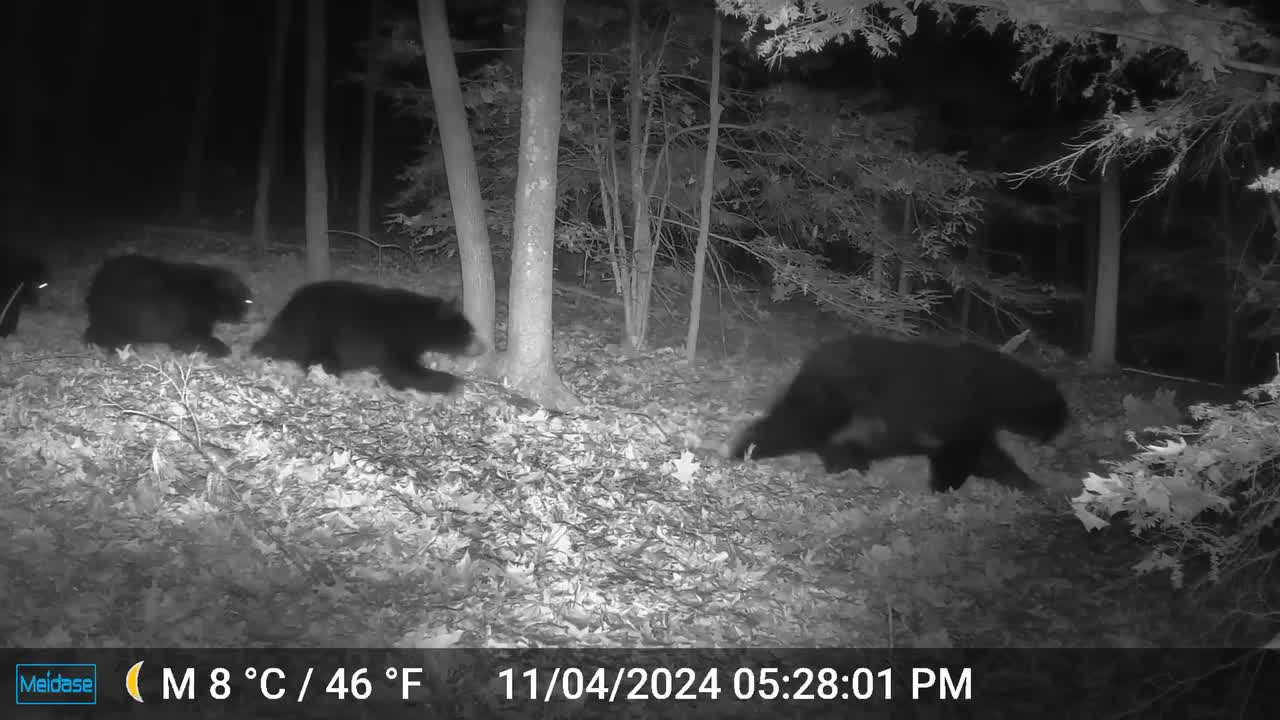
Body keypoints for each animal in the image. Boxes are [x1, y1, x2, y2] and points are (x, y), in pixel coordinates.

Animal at [85, 254, 253, 358]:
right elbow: (191, 338)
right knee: (100, 332)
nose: (244, 316)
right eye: (243, 301)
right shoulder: (187, 319)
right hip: (110, 312)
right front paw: (222, 348)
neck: (208, 293)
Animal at [251, 280, 486, 394]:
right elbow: (400, 369)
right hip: (316, 332)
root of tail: (286, 311)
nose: (483, 347)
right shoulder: (393, 338)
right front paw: (454, 381)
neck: (417, 323)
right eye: (470, 331)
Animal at [725, 334, 1069, 493]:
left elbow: (988, 455)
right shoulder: (960, 410)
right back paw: (746, 449)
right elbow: (960, 454)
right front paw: (944, 486)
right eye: (1056, 419)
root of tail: (812, 359)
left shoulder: (975, 423)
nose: (1053, 440)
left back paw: (847, 464)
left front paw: (1030, 484)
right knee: (796, 424)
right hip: (834, 397)